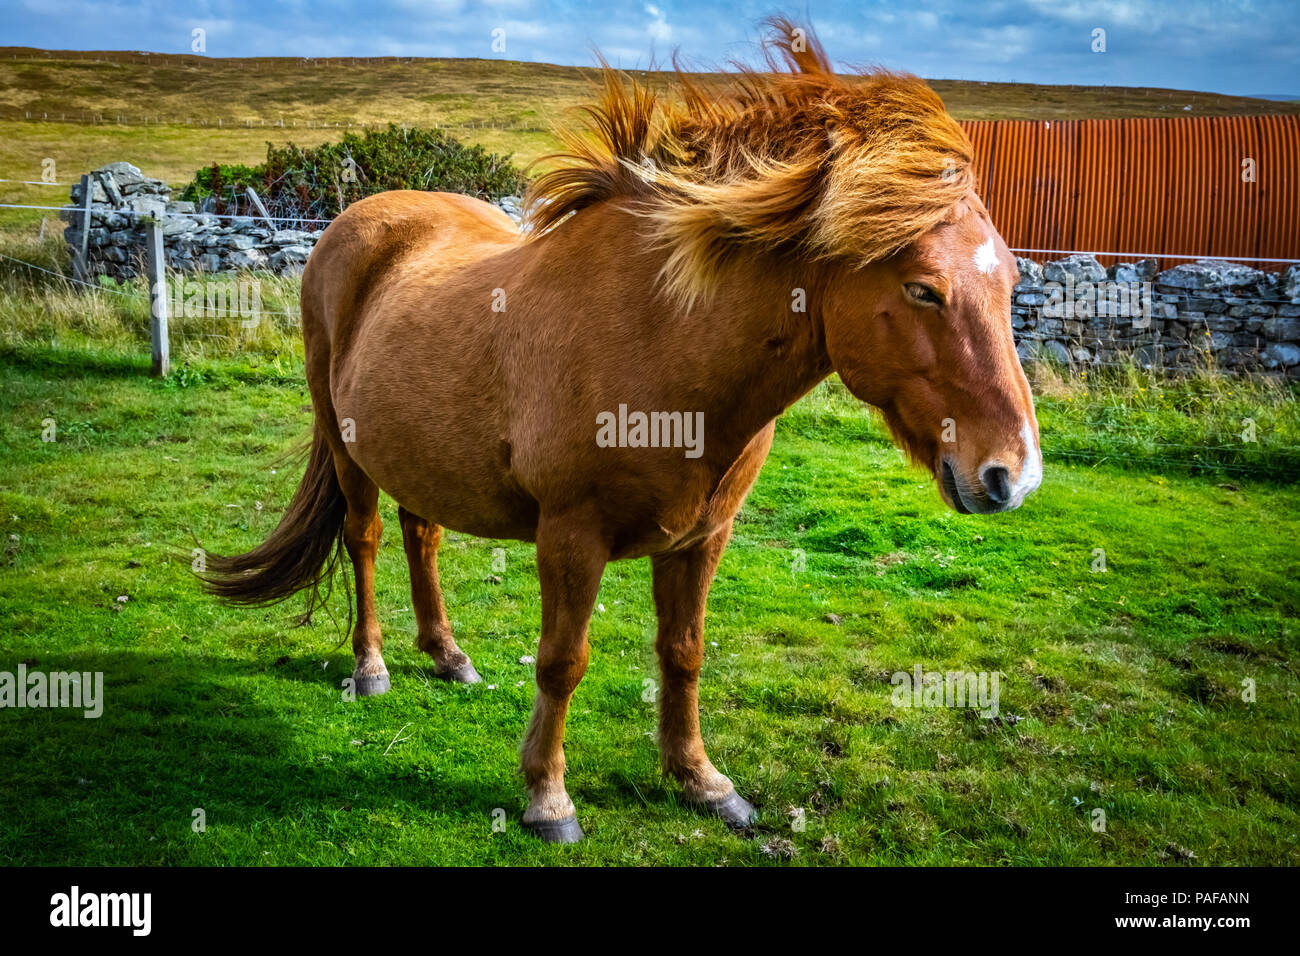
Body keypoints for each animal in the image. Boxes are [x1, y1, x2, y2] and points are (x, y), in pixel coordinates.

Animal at [203, 18, 1042, 843]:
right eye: (923, 288)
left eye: (1010, 280)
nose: (1014, 474)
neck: (665, 342)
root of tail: (353, 224)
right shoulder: (572, 535)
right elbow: (562, 661)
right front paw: (548, 798)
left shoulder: (702, 537)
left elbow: (684, 653)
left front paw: (702, 781)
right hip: (348, 447)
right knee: (367, 538)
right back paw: (370, 666)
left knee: (423, 535)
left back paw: (447, 655)